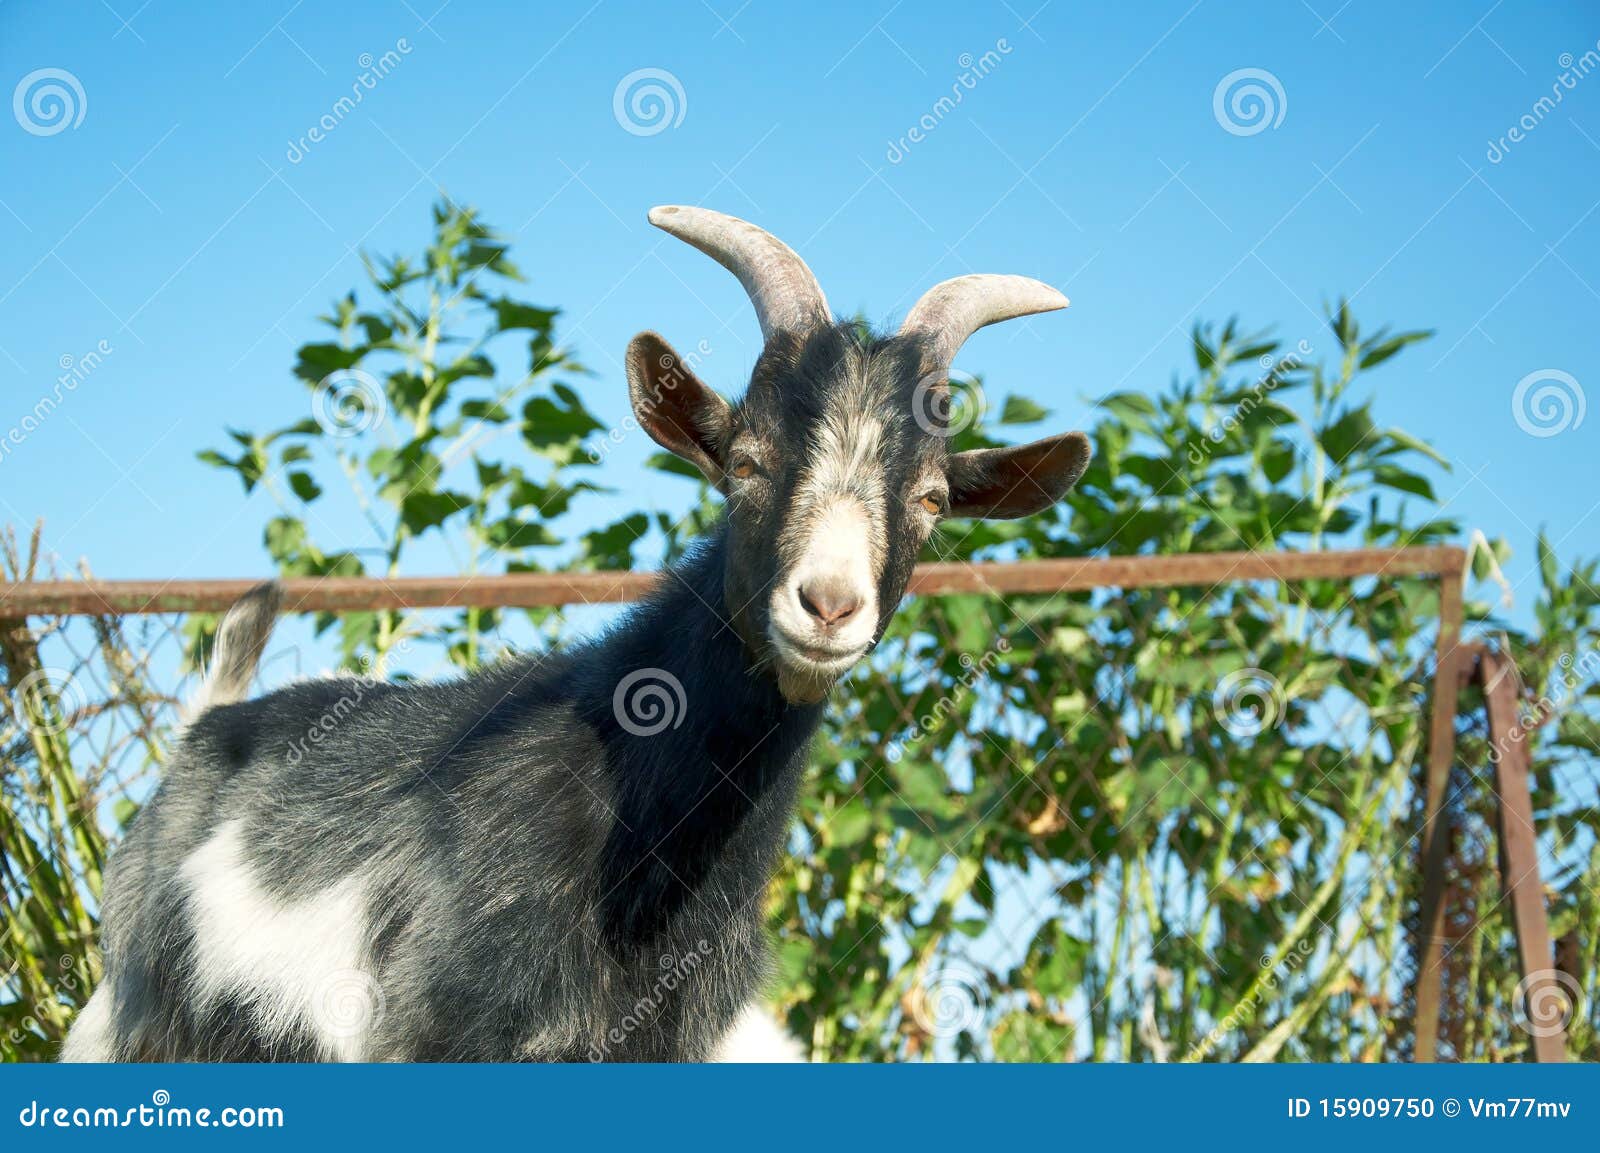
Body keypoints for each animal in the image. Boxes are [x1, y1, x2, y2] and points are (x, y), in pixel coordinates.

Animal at [61, 206, 1090, 1062]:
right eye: (746, 462)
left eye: (930, 499)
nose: (830, 605)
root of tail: (206, 727)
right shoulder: (430, 1035)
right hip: (131, 1020)